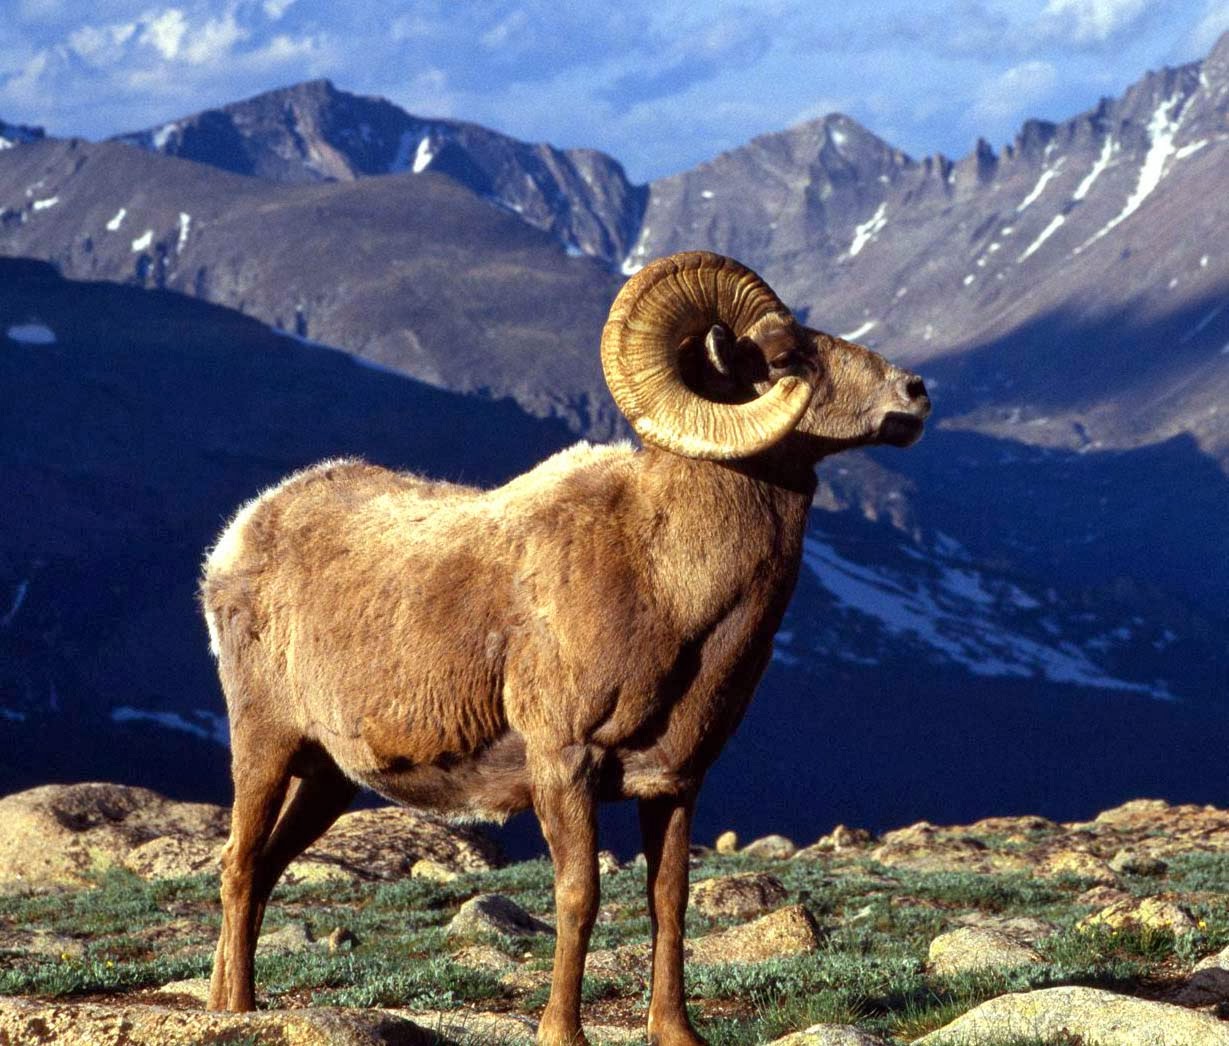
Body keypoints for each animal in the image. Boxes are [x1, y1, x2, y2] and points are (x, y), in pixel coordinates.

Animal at [201, 250, 930, 1046]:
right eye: (786, 353)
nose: (915, 394)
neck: (664, 580)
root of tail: (239, 536)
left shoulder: (675, 783)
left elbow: (669, 901)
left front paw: (674, 1032)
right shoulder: (564, 764)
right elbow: (578, 896)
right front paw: (561, 1031)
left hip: (329, 778)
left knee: (265, 868)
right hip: (266, 745)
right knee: (240, 865)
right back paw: (234, 1010)